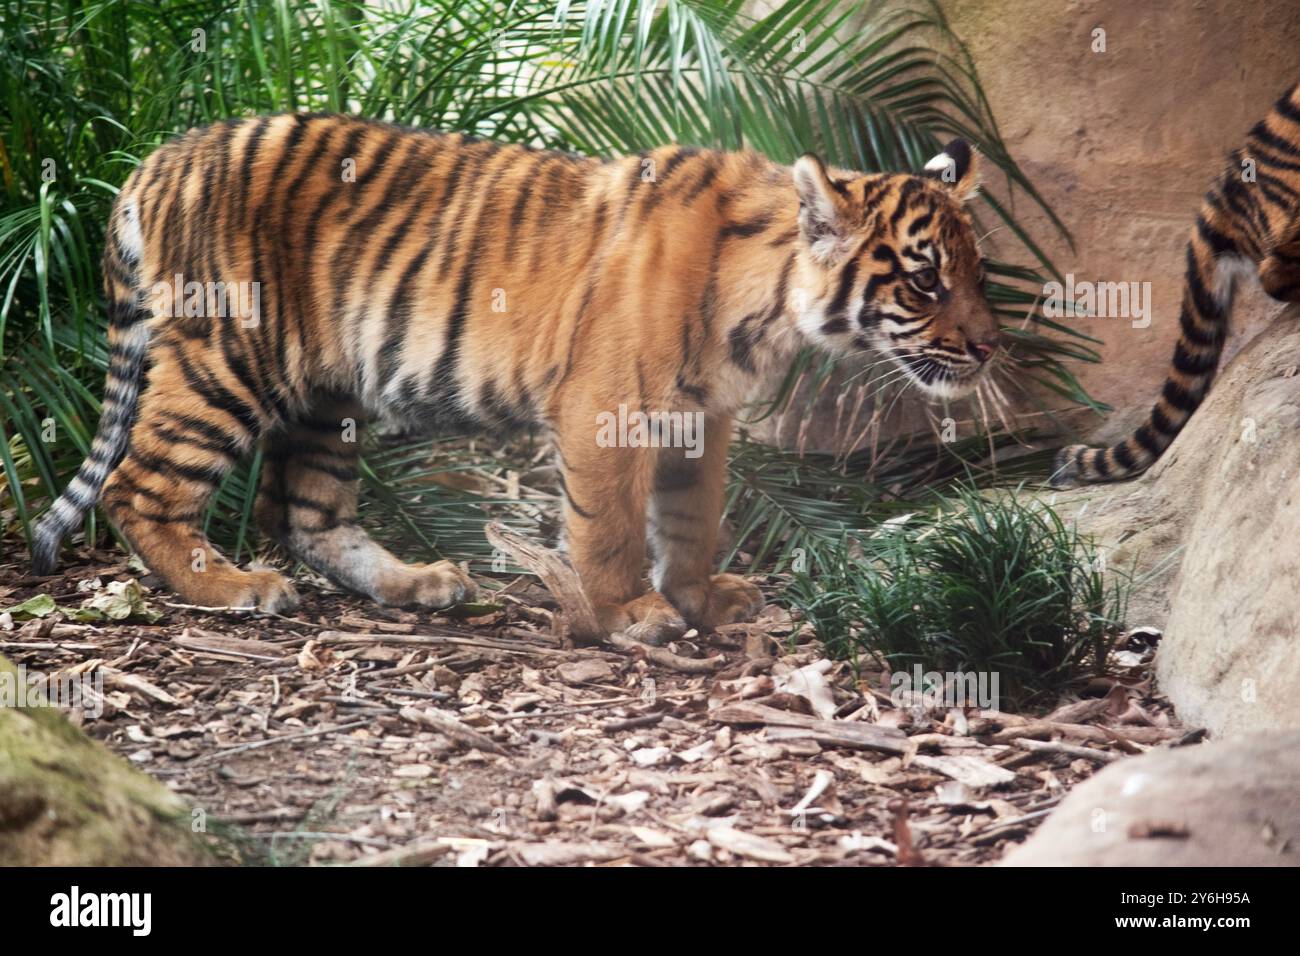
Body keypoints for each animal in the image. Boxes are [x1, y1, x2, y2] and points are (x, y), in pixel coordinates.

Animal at [31, 114, 998, 642]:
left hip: (327, 391)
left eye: (977, 269)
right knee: (140, 485)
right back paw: (230, 587)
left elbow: (692, 518)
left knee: (302, 514)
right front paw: (631, 614)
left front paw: (702, 598)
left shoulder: (700, 418)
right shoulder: (608, 408)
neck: (768, 307)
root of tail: (157, 160)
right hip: (228, 359)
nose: (991, 347)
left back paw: (419, 583)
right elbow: (611, 525)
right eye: (924, 280)